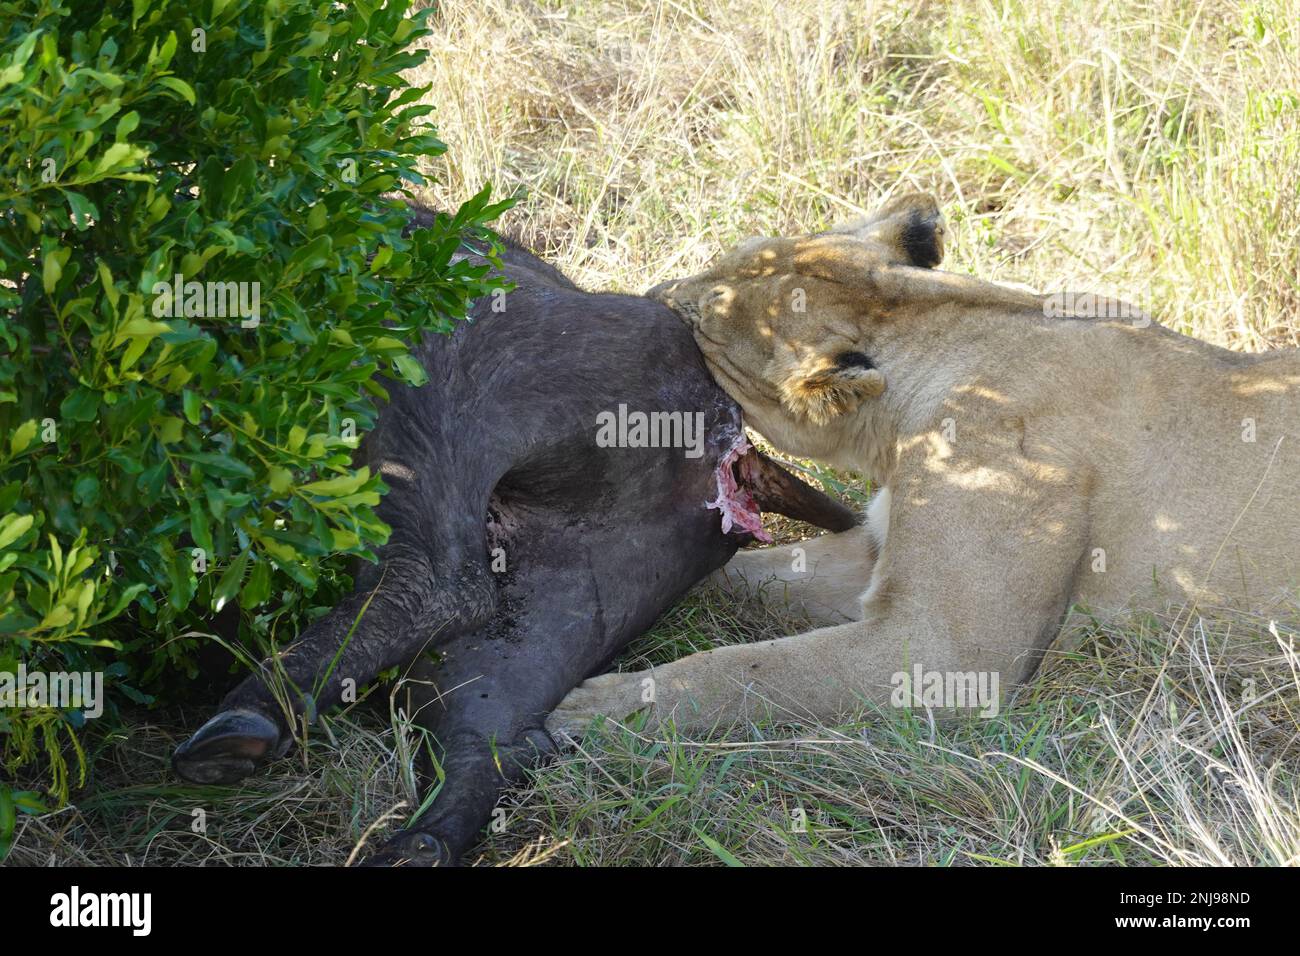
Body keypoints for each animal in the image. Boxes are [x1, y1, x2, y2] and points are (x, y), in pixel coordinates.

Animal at [547, 193, 1300, 737]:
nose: (651, 289)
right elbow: (736, 575)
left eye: (699, 325)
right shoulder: (872, 555)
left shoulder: (948, 652)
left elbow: (746, 672)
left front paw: (600, 707)